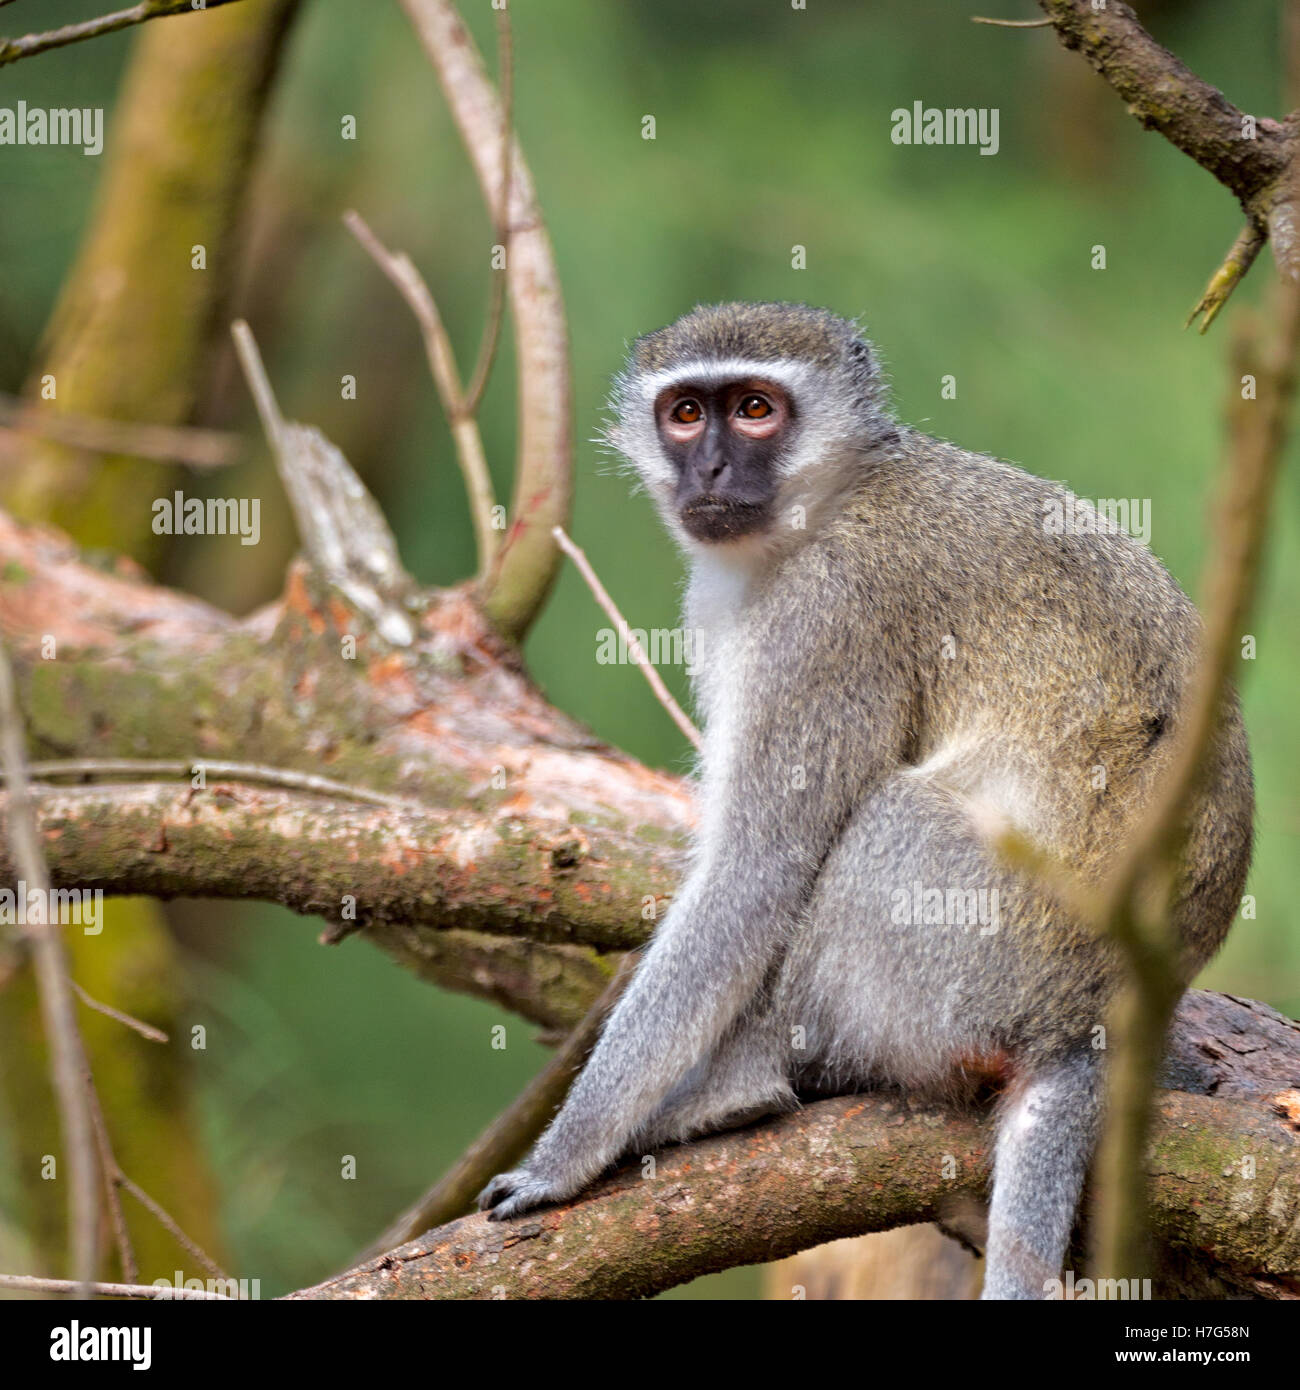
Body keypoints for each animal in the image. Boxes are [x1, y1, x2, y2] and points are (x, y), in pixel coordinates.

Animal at [477, 301, 1254, 1299]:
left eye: (757, 409)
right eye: (686, 414)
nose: (711, 469)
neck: (833, 500)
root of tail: (1092, 1015)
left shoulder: (831, 615)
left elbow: (757, 872)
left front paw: (564, 1157)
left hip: (982, 955)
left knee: (886, 822)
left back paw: (745, 1086)